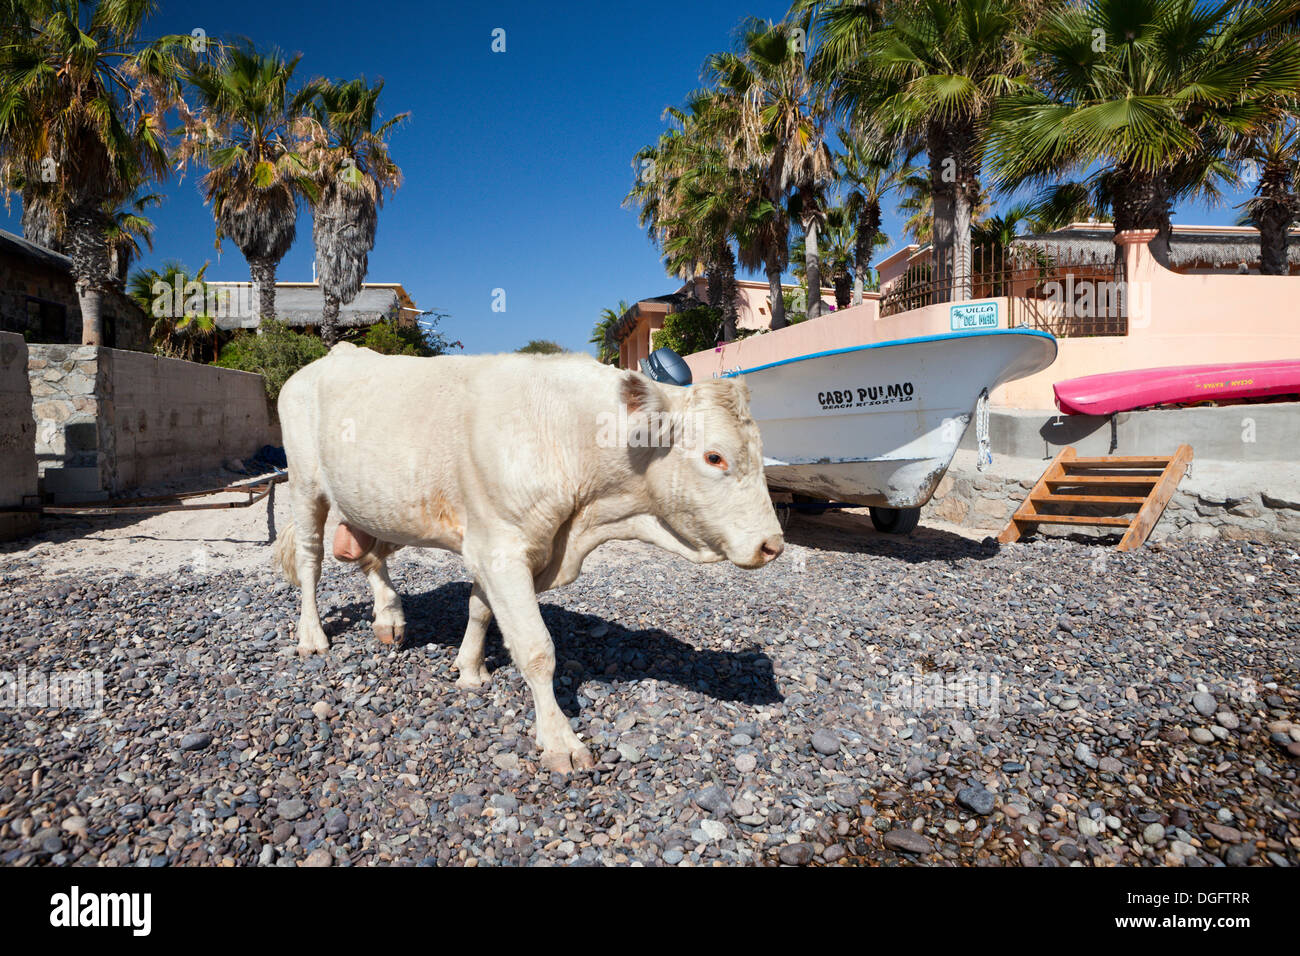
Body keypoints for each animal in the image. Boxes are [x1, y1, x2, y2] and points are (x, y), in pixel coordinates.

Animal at [272, 344, 783, 772]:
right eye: (715, 457)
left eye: (761, 454)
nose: (773, 545)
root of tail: (331, 355)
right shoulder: (502, 547)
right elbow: (537, 648)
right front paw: (560, 741)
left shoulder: (495, 546)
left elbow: (480, 610)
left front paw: (470, 669)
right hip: (304, 484)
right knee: (311, 560)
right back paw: (313, 636)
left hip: (376, 501)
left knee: (373, 556)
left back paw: (389, 618)